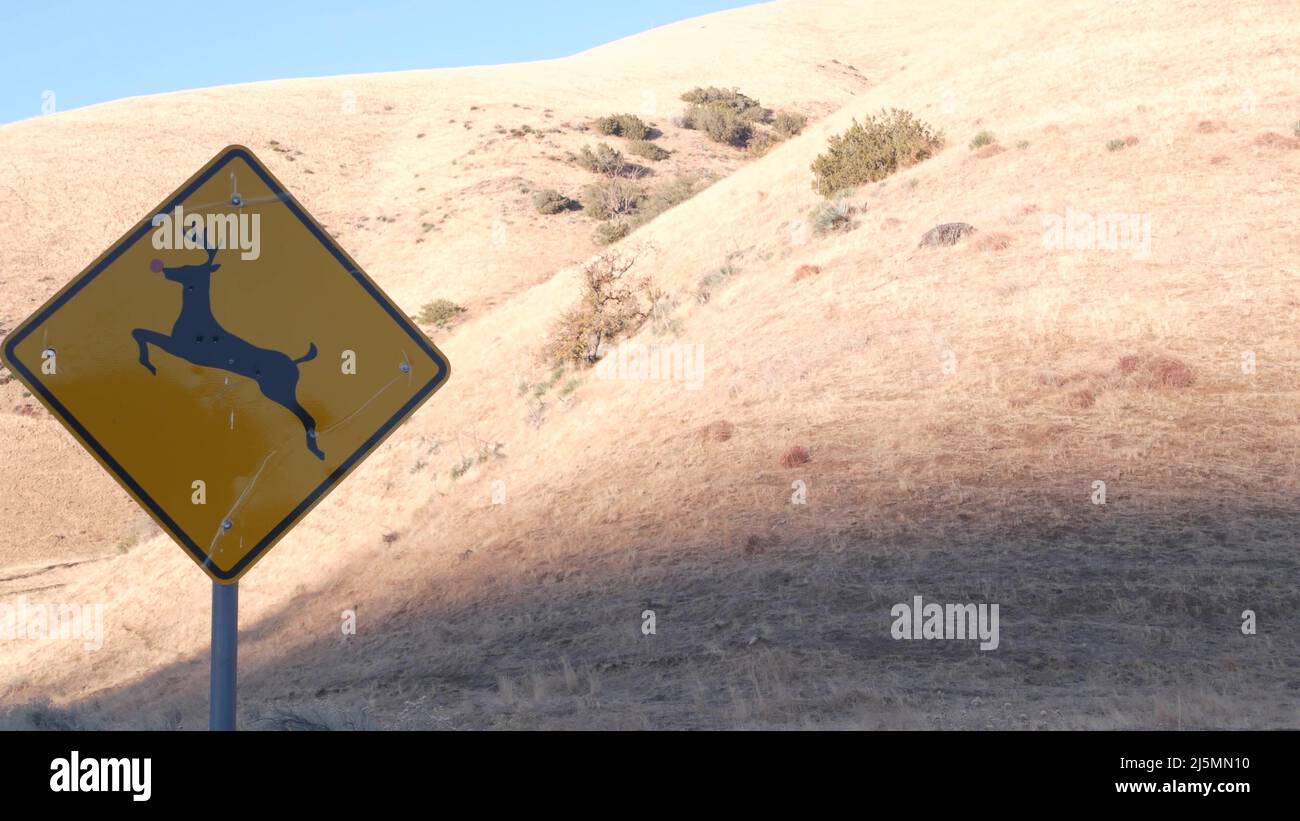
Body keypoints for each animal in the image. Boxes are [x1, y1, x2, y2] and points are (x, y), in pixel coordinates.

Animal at [131, 239, 325, 460]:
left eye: (188, 268)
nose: (164, 269)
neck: (194, 317)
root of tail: (295, 362)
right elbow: (140, 332)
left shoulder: (181, 348)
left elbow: (140, 333)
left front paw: (148, 364)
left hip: (278, 390)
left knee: (308, 417)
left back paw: (317, 452)